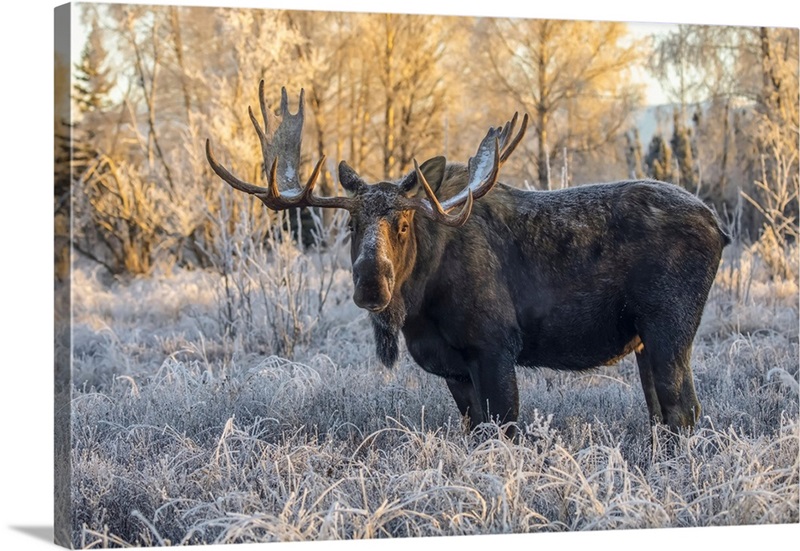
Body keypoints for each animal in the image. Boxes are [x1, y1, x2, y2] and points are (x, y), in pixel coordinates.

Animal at [206, 81, 729, 440]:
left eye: (403, 223)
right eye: (350, 224)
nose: (371, 283)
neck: (421, 303)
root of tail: (718, 226)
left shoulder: (496, 348)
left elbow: (505, 431)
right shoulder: (455, 370)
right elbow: (475, 431)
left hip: (669, 327)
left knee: (684, 410)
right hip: (645, 340)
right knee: (661, 412)